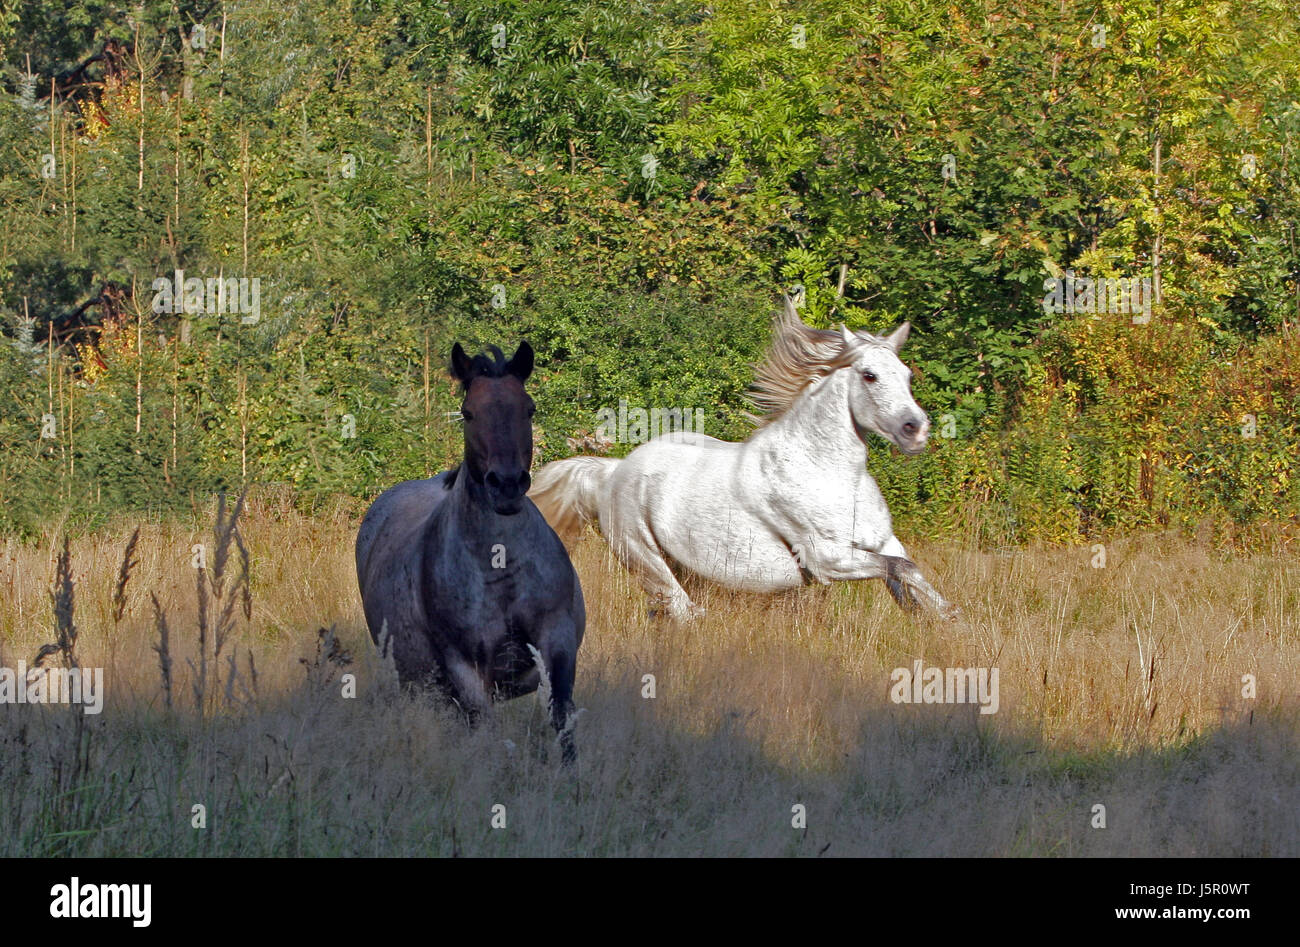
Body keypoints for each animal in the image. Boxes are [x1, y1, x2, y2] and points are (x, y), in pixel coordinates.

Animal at [355, 341, 586, 763]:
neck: (501, 567)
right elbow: (488, 731)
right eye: (468, 412)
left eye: (529, 408)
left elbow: (562, 718)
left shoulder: (557, 641)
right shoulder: (465, 665)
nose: (507, 485)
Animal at [529, 297, 957, 622]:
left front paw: (944, 621)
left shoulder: (884, 541)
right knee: (683, 613)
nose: (916, 429)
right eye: (869, 375)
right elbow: (904, 569)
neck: (828, 473)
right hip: (647, 559)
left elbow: (909, 575)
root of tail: (613, 471)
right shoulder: (827, 559)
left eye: (907, 375)